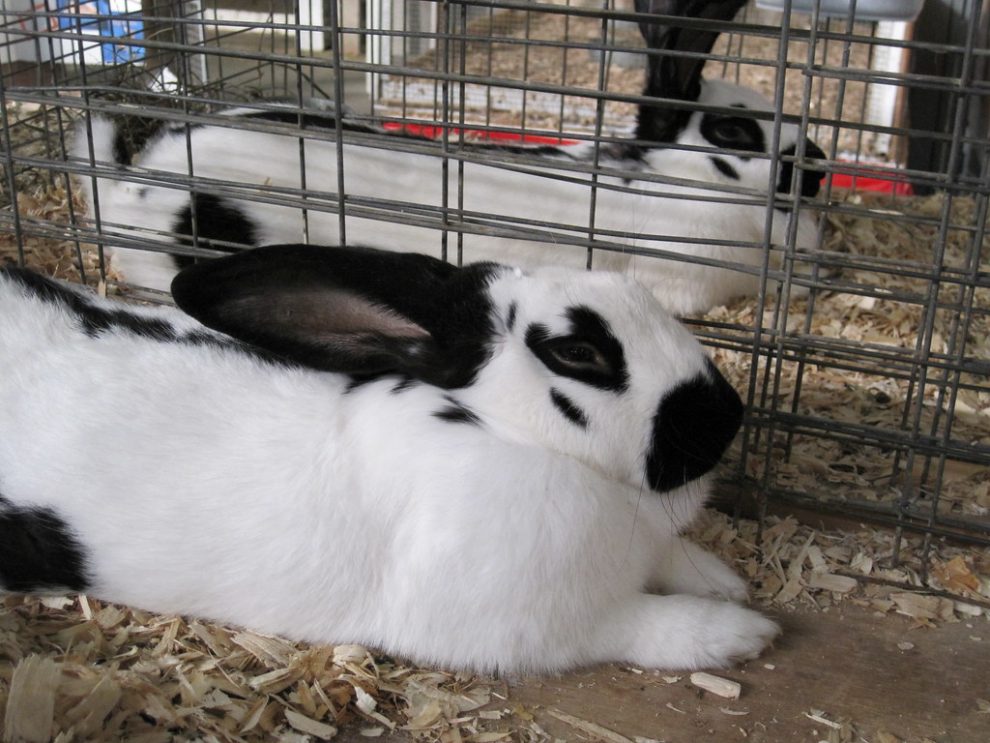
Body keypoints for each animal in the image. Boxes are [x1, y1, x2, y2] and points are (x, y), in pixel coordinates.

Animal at [0, 244, 779, 673]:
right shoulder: (542, 624)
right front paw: (742, 632)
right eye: (577, 351)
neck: (512, 435)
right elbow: (644, 627)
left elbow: (678, 560)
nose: (726, 417)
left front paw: (725, 581)